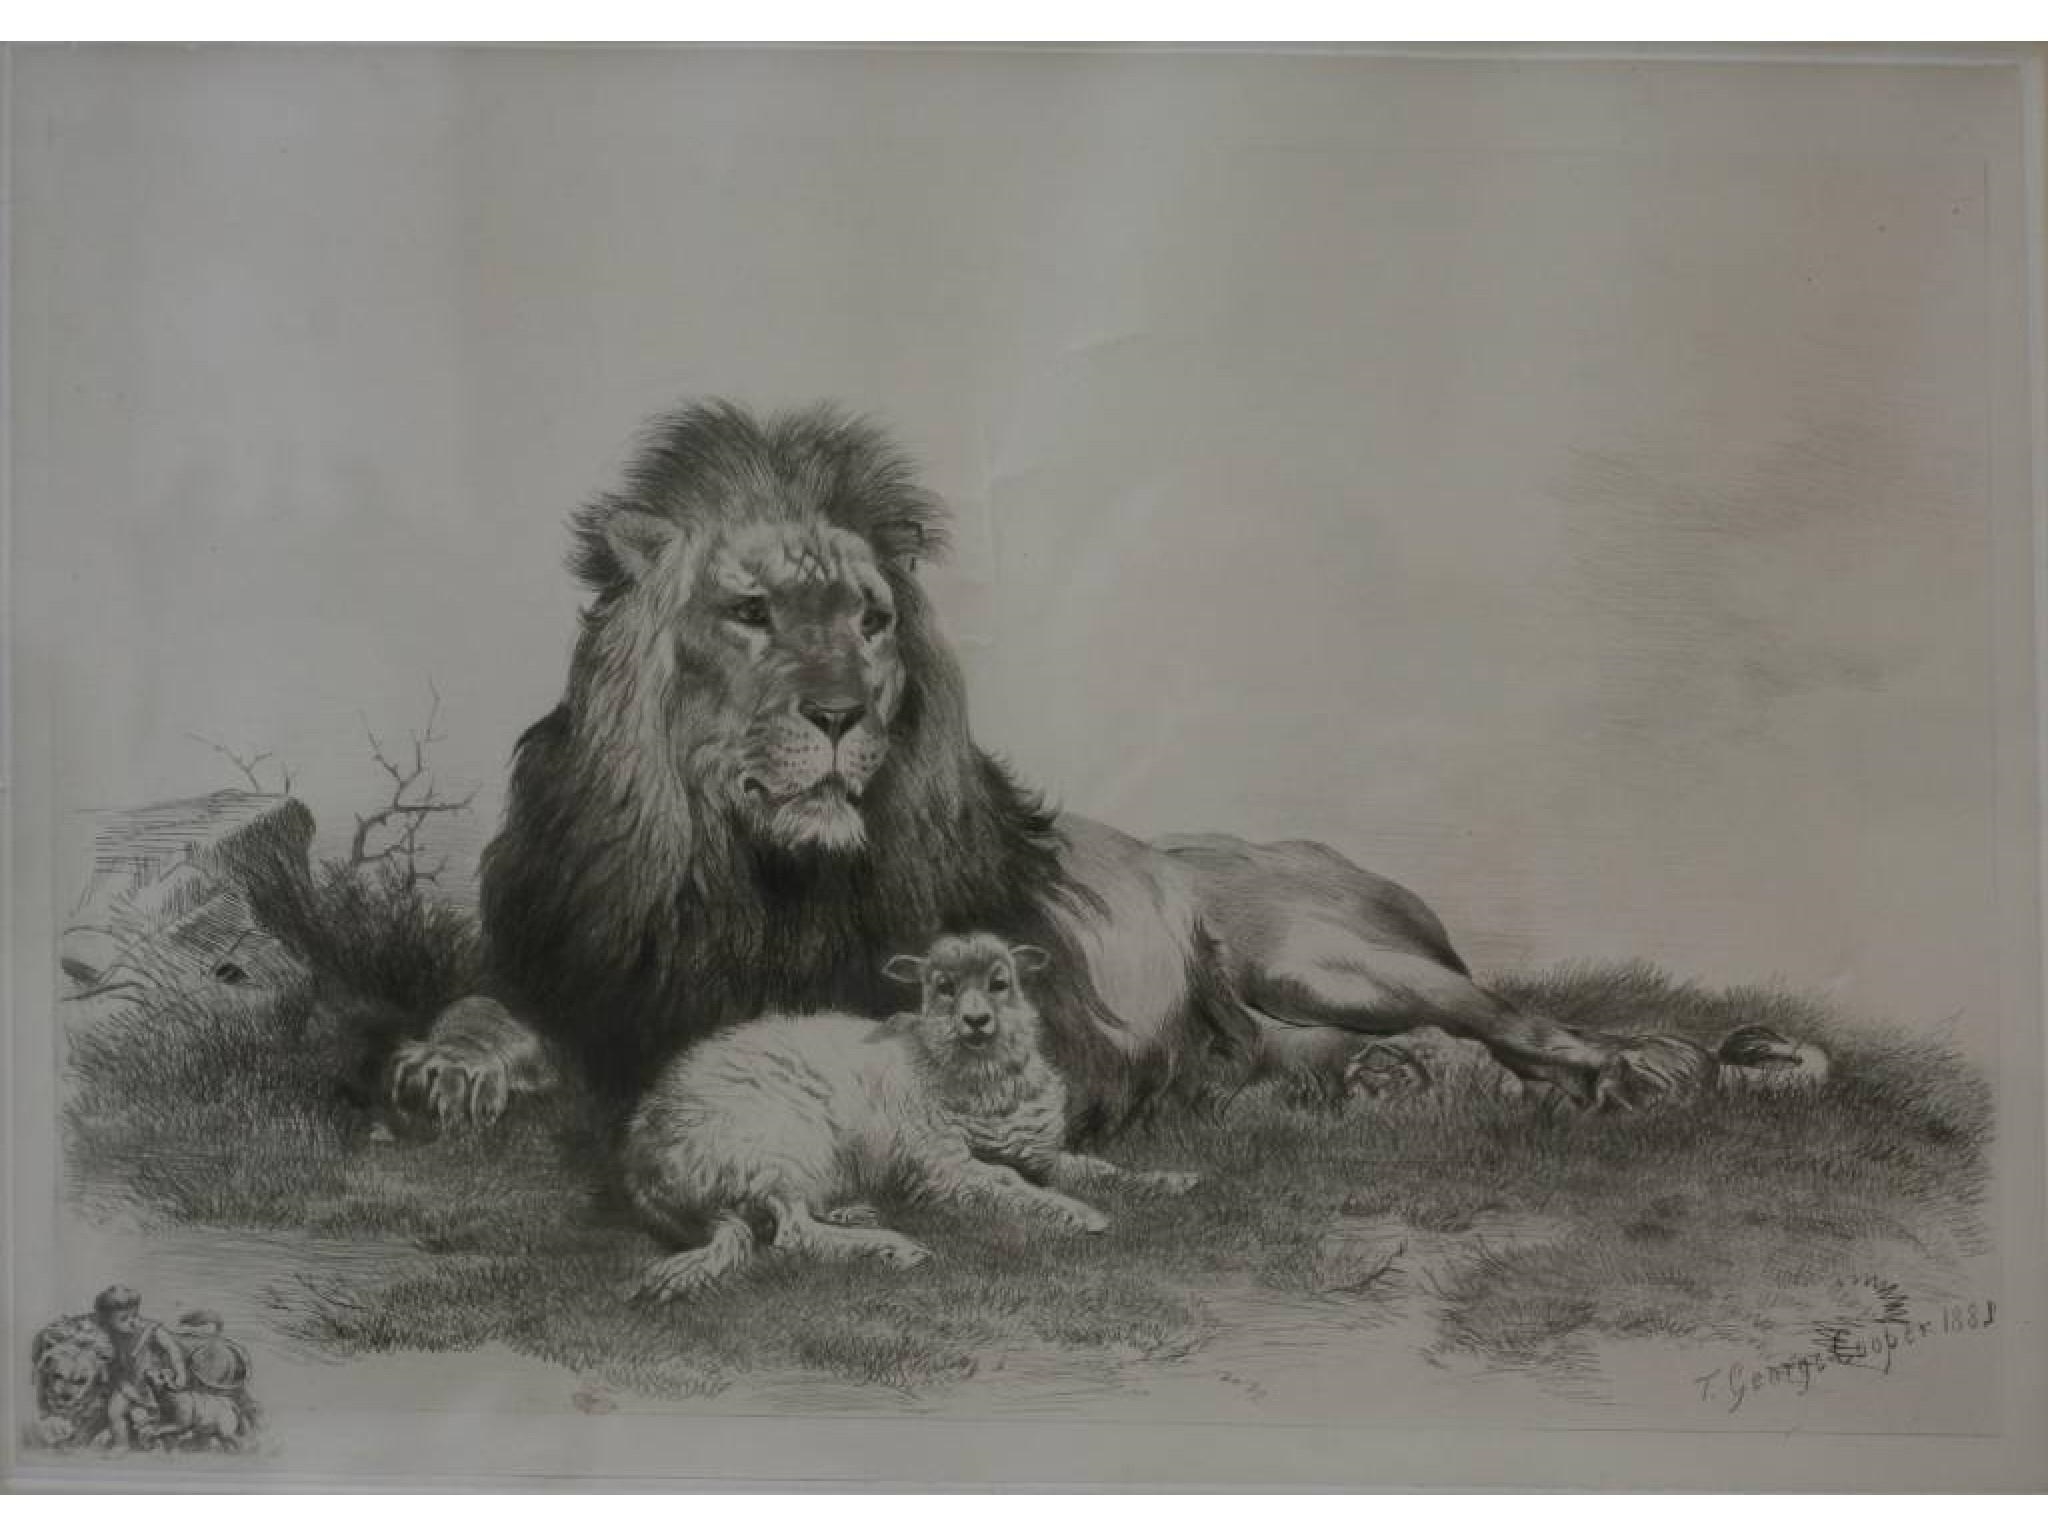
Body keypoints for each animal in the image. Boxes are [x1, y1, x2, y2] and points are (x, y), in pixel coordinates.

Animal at [387, 401, 1685, 1139]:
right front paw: (441, 1074)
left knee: (1516, 1019)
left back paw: (1612, 1076)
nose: (840, 715)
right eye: (750, 613)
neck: (738, 876)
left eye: (869, 622)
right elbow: (475, 1008)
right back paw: (1367, 1083)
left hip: (1323, 958)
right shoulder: (571, 975)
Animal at [622, 932, 1203, 1300]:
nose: (976, 1022)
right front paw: (1079, 1214)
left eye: (1000, 982)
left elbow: (1099, 1168)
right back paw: (891, 1248)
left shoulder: (1042, 1153)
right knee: (790, 1234)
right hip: (775, 1145)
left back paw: (854, 1214)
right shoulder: (943, 1166)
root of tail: (647, 1177)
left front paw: (1170, 1180)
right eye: (942, 986)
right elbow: (1008, 1183)